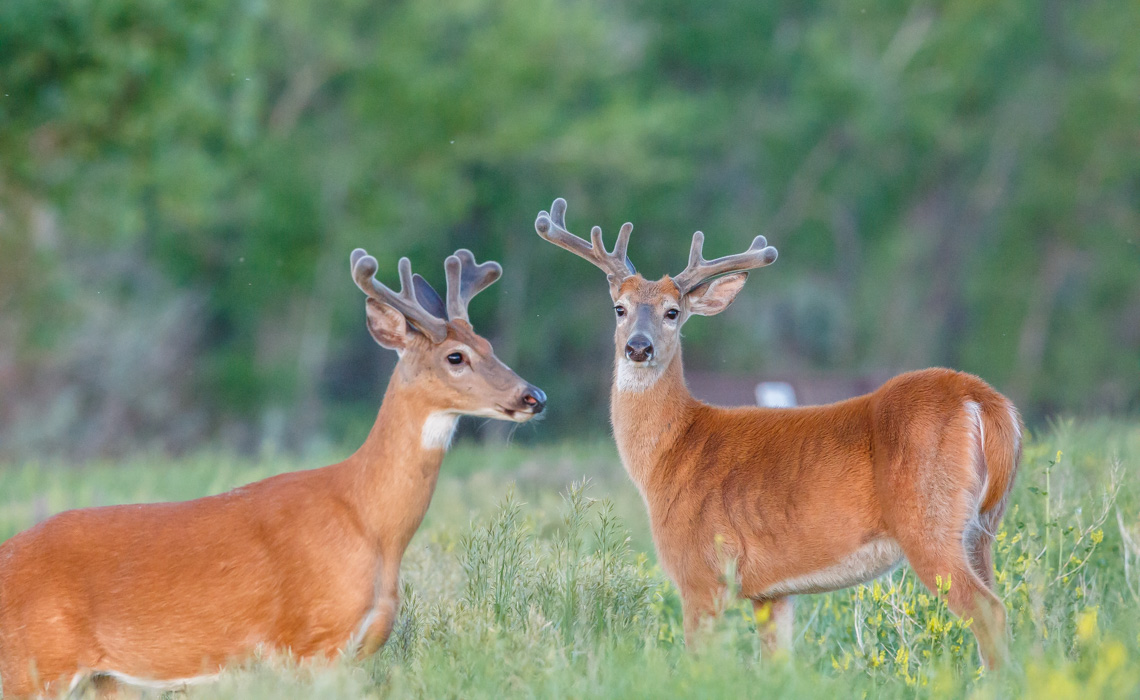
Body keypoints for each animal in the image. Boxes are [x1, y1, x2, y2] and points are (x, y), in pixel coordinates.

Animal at [0, 248, 546, 697]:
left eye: (489, 343)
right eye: (456, 356)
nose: (533, 396)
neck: (369, 522)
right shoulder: (311, 642)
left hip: (106, 680)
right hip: (33, 666)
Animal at [534, 197, 1021, 669]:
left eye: (673, 312)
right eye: (620, 308)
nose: (638, 347)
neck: (670, 453)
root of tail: (981, 399)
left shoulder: (699, 572)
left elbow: (698, 664)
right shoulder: (773, 591)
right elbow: (777, 666)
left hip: (929, 524)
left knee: (989, 612)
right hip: (982, 530)